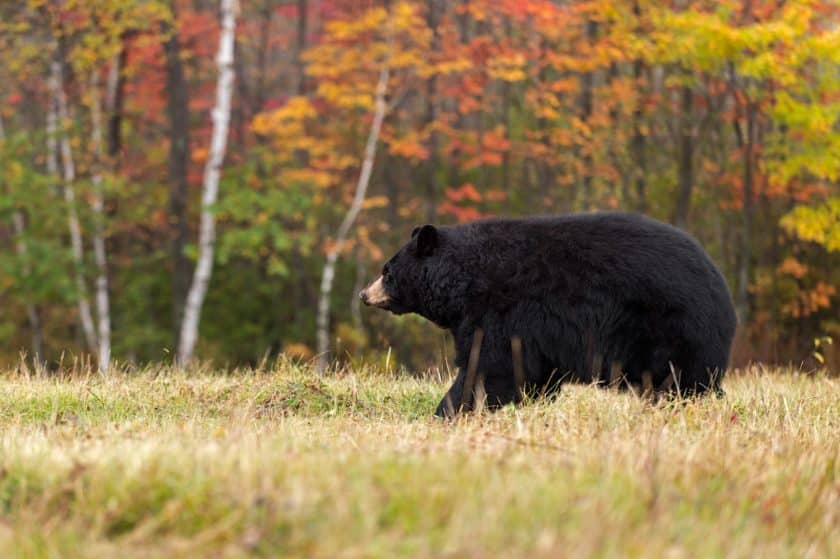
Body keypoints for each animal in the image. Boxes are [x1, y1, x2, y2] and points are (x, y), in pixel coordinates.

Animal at [360, 212, 737, 417]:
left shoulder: (502, 312)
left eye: (387, 271)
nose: (364, 294)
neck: (464, 280)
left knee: (681, 378)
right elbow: (531, 374)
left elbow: (490, 366)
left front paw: (448, 410)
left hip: (668, 327)